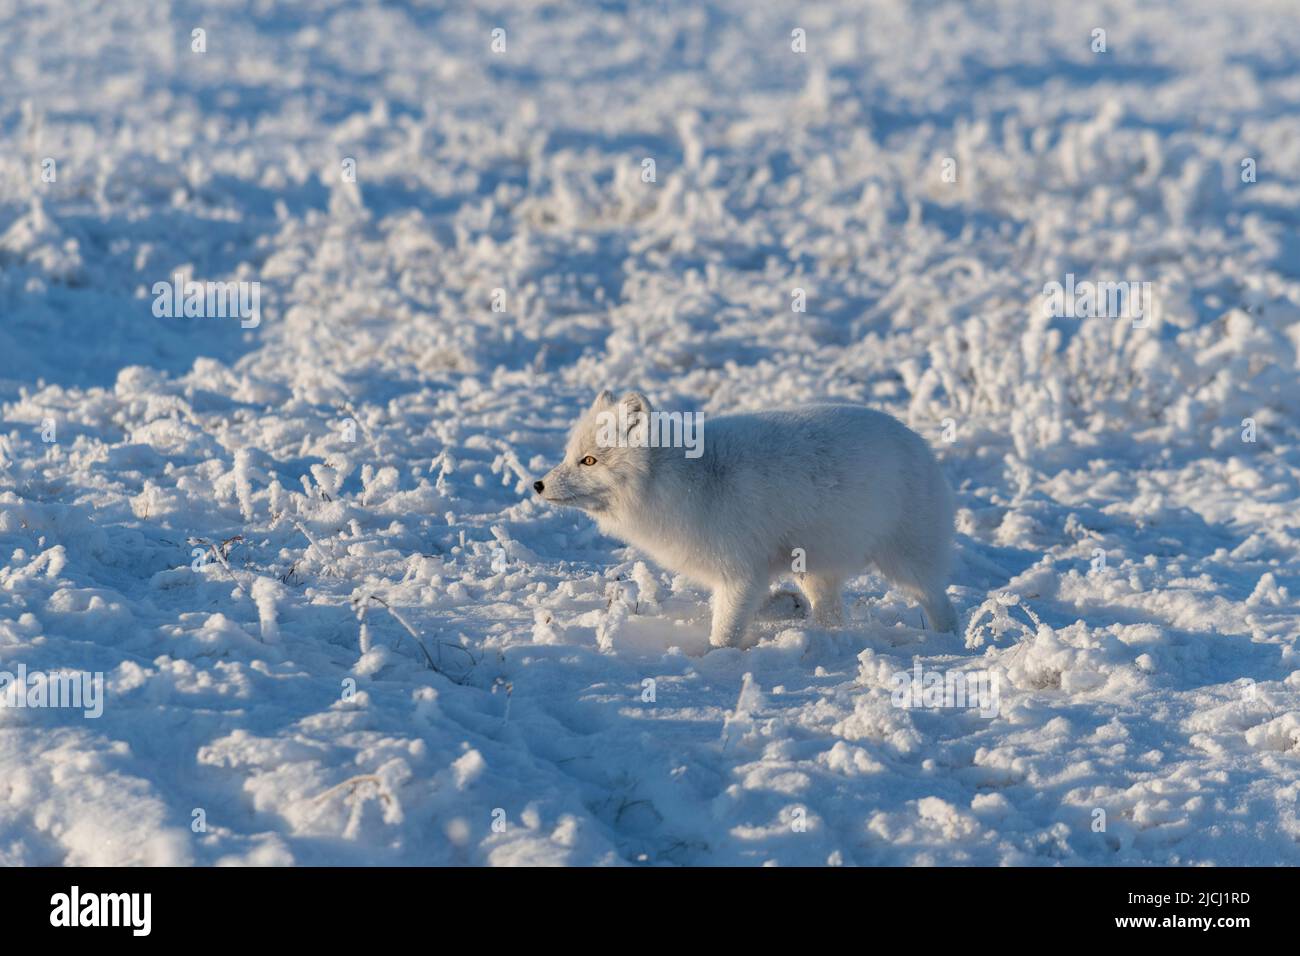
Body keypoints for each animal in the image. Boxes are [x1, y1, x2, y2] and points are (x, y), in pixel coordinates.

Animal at [533, 390, 958, 649]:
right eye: (569, 455)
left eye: (589, 460)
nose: (537, 485)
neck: (689, 479)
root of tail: (916, 440)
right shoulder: (747, 573)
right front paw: (784, 606)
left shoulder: (738, 572)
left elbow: (724, 631)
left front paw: (715, 661)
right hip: (814, 568)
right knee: (830, 613)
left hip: (907, 562)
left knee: (941, 603)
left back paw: (948, 644)